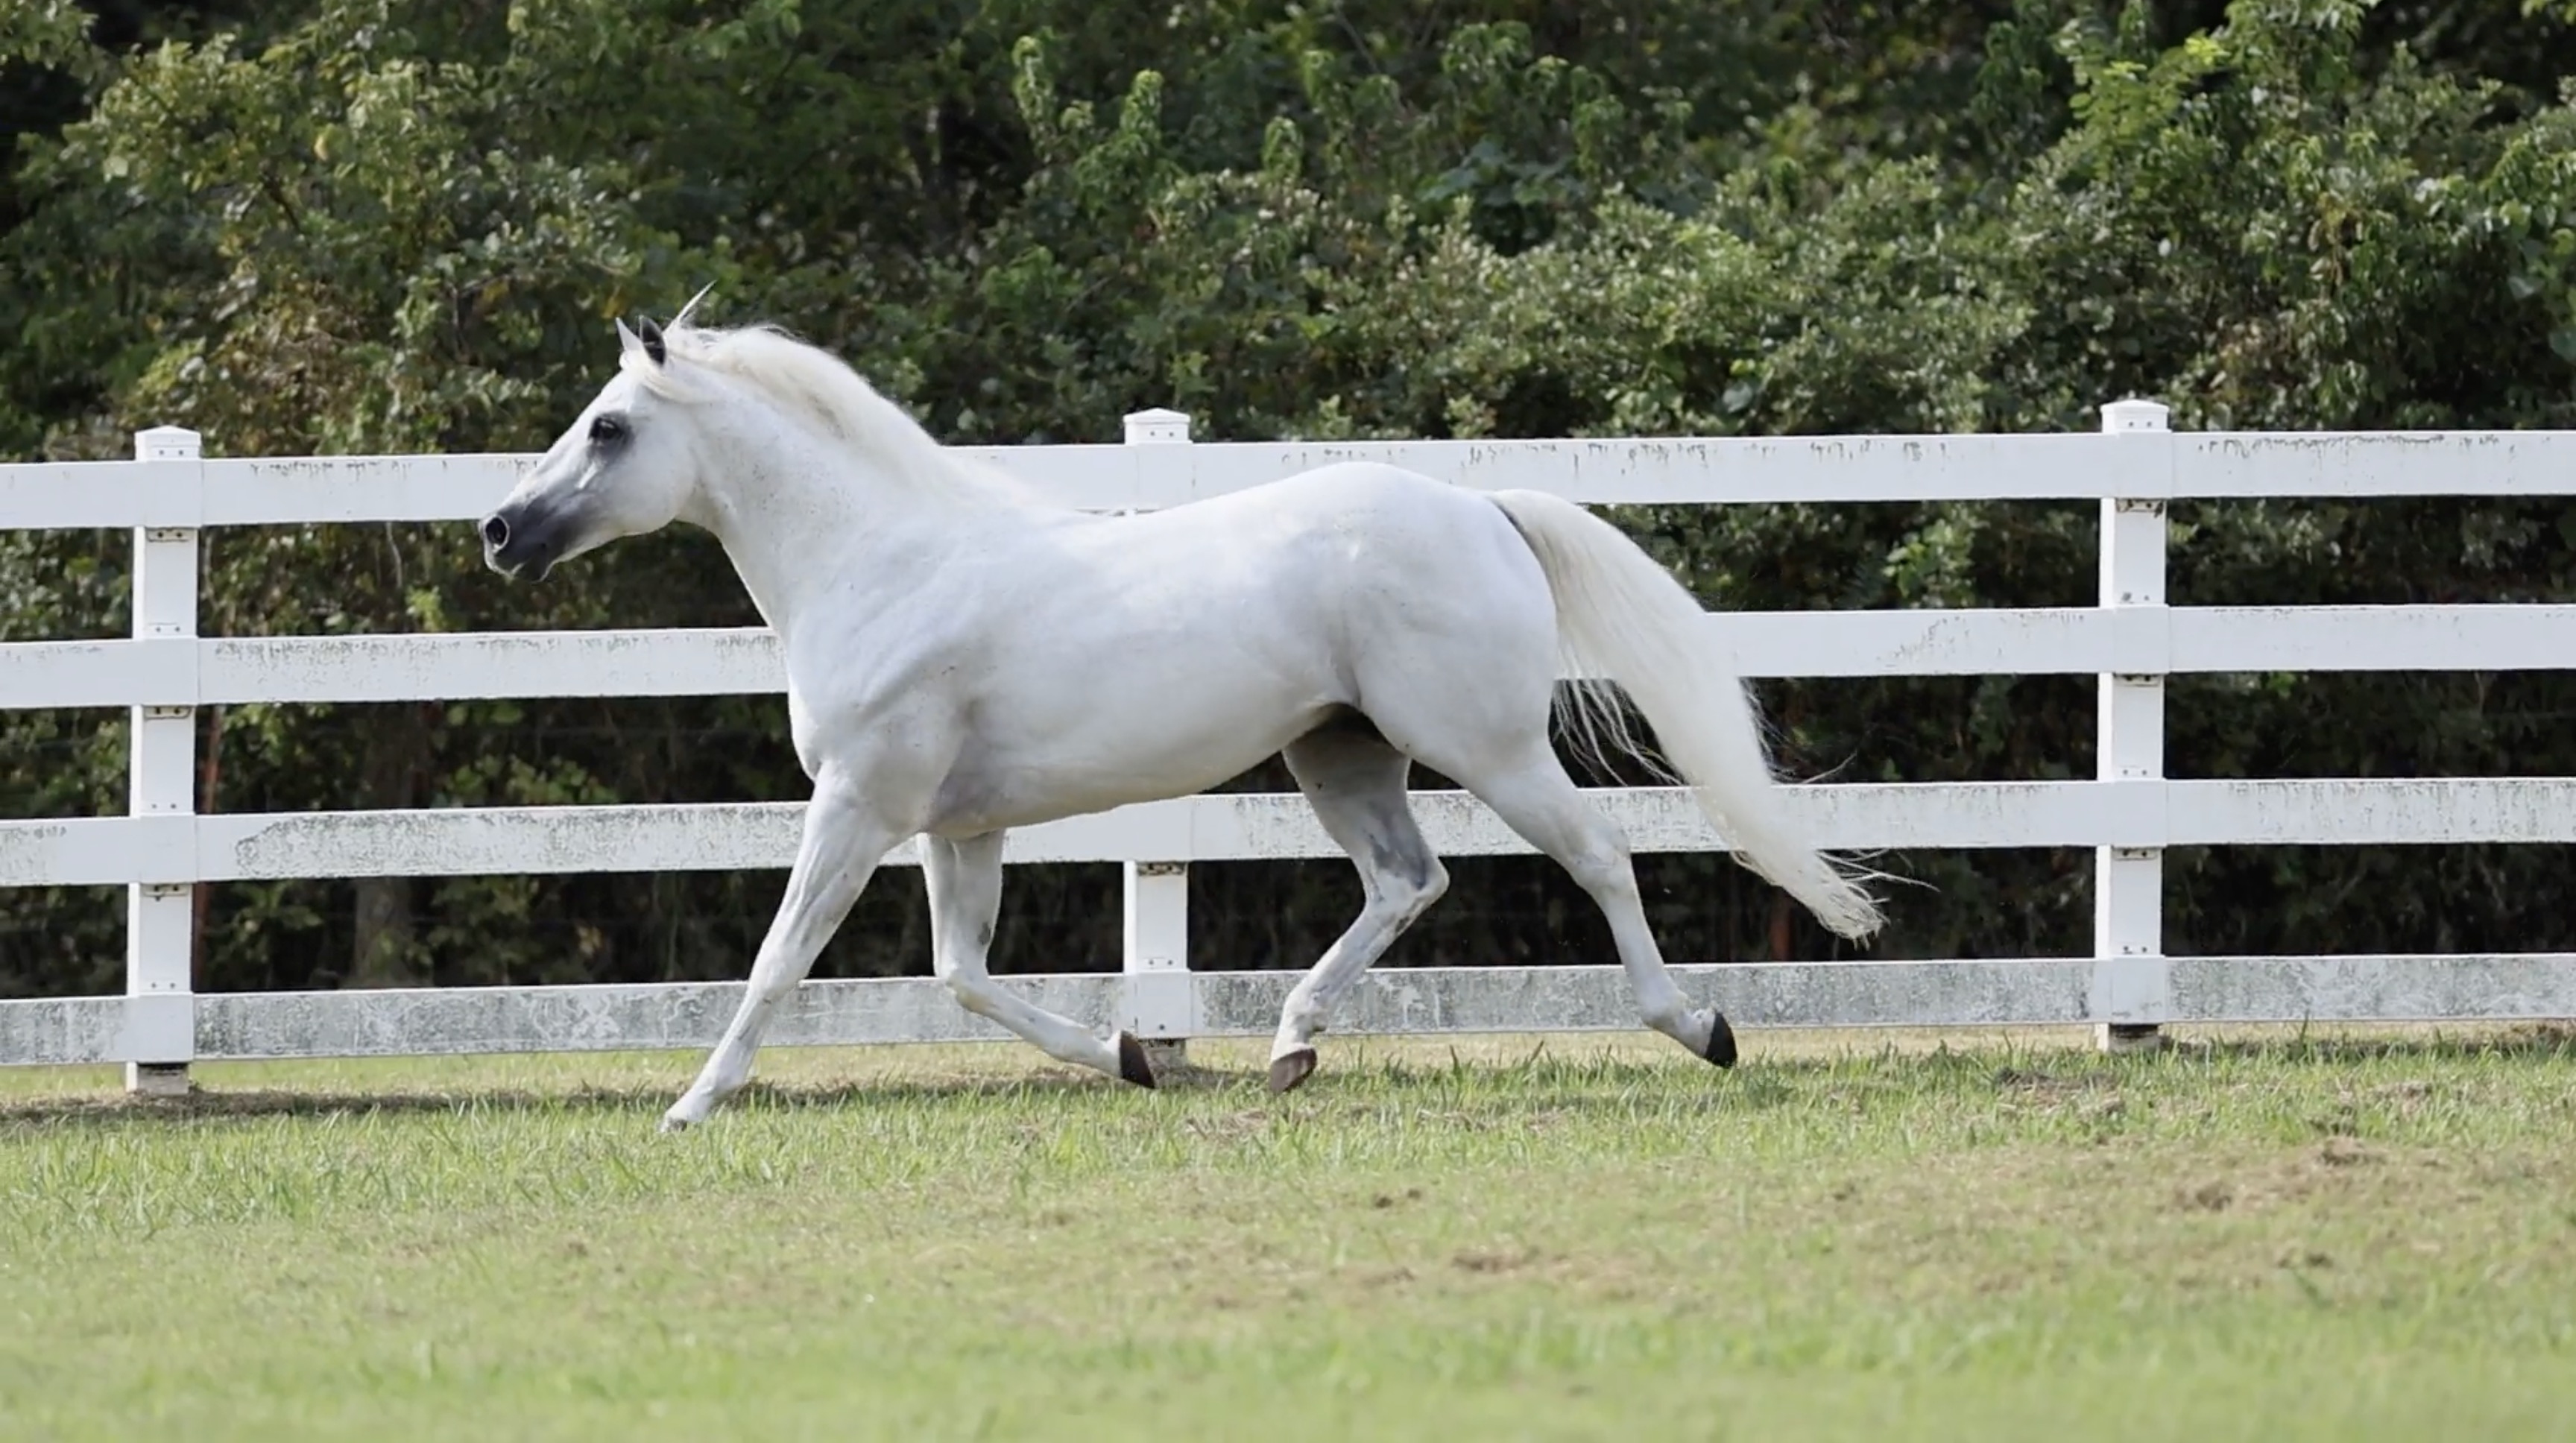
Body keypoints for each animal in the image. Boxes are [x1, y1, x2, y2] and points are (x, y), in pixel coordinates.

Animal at [478, 309, 1884, 1132]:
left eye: (609, 426)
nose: (499, 533)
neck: (882, 565)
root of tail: (1482, 508)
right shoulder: (954, 828)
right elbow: (963, 978)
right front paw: (1133, 1058)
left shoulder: (859, 807)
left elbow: (782, 959)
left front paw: (692, 1104)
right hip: (1340, 754)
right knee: (1406, 879)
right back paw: (1289, 1049)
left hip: (1485, 746)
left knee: (1597, 858)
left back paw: (1701, 1028)